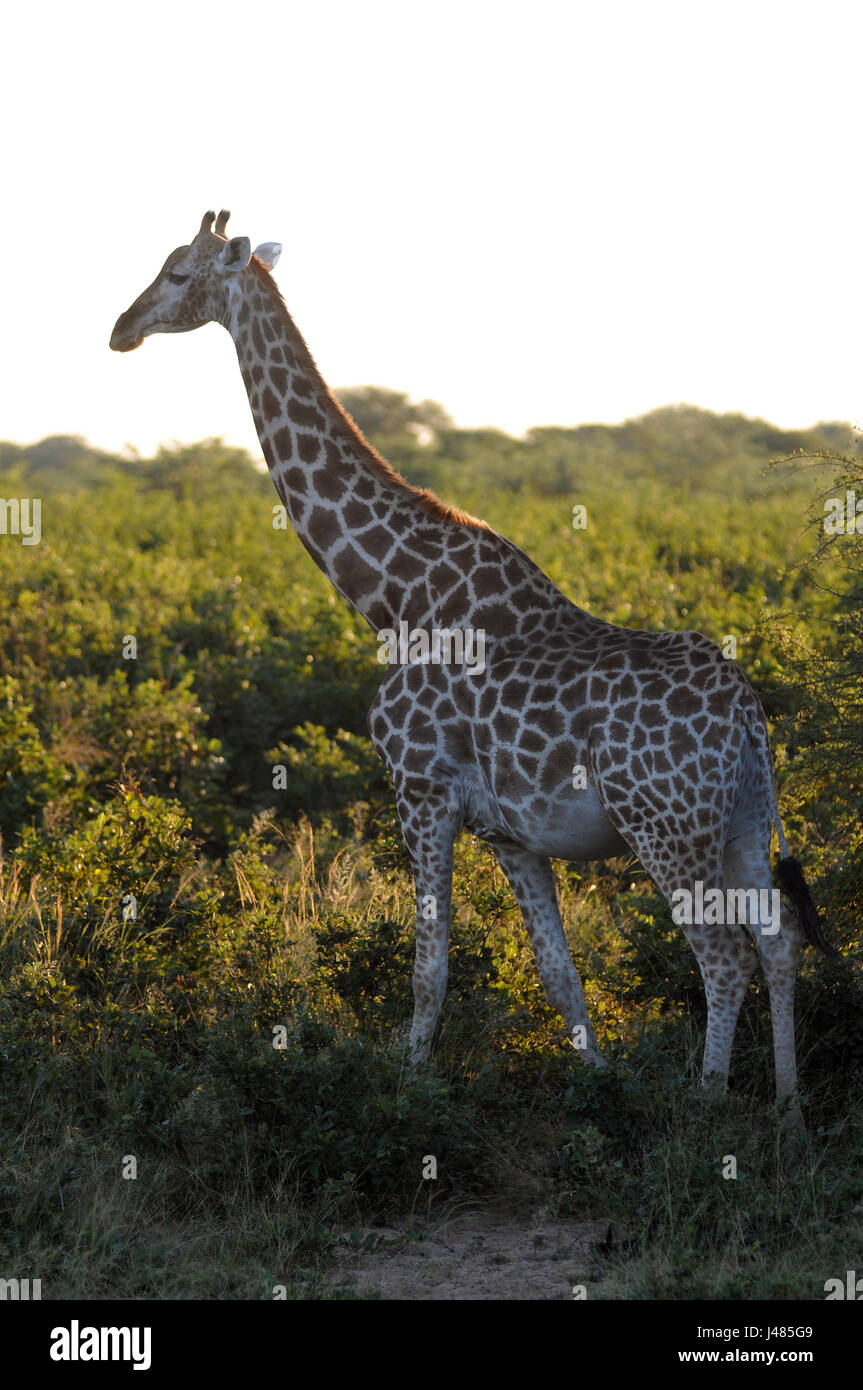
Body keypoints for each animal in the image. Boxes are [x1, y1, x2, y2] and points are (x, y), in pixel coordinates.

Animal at [110, 209, 833, 1134]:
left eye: (175, 272)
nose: (120, 330)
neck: (387, 592)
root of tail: (748, 713)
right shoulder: (510, 832)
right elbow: (558, 974)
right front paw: (597, 1089)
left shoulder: (418, 790)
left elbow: (429, 966)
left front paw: (406, 1092)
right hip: (740, 818)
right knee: (777, 942)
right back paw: (788, 1114)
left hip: (662, 825)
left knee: (722, 954)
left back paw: (704, 1108)